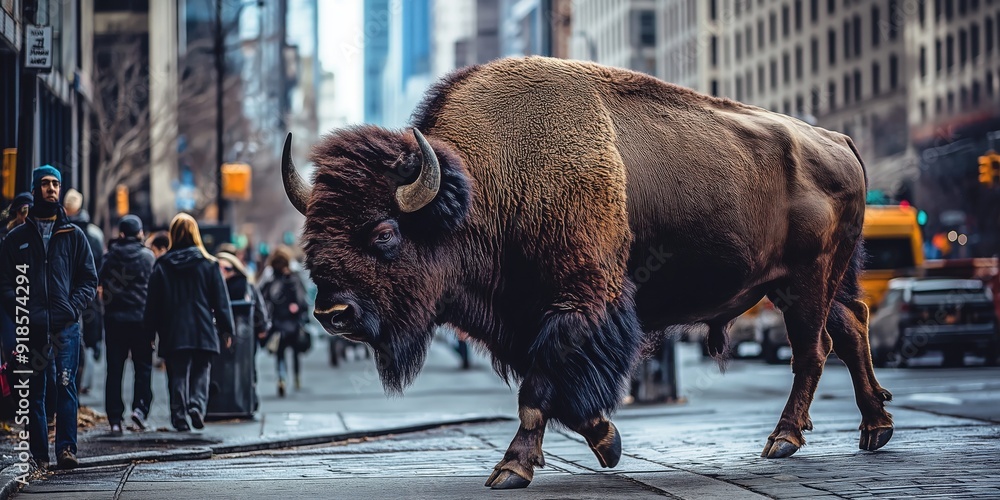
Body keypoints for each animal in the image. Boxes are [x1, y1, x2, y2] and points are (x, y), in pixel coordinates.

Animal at [281, 56, 893, 489]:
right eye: (313, 237)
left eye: (384, 232)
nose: (333, 313)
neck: (490, 185)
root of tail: (838, 141)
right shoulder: (526, 320)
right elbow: (559, 393)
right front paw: (607, 442)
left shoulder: (580, 306)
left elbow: (541, 388)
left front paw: (511, 468)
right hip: (821, 282)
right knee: (852, 325)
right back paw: (874, 429)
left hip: (803, 283)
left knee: (812, 351)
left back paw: (784, 439)